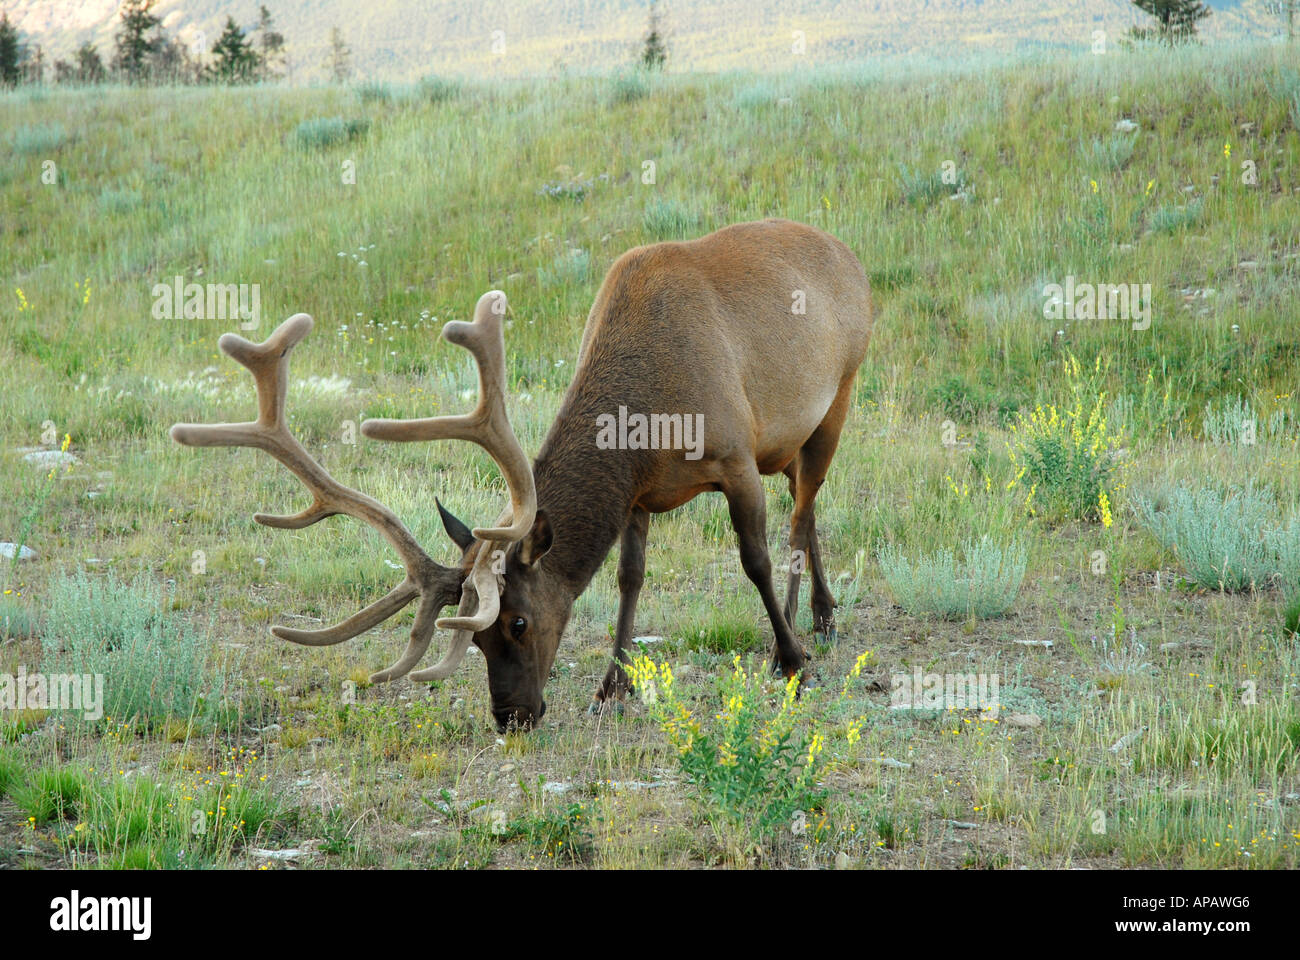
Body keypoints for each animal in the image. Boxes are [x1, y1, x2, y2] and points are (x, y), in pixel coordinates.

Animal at [171, 218, 872, 732]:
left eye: (518, 624)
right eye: (476, 644)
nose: (511, 717)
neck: (645, 423)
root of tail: (848, 253)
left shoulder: (734, 456)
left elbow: (752, 558)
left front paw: (793, 665)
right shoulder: (639, 495)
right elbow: (629, 579)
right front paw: (612, 684)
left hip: (838, 394)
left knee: (801, 511)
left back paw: (806, 622)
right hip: (791, 440)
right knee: (805, 504)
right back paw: (821, 613)